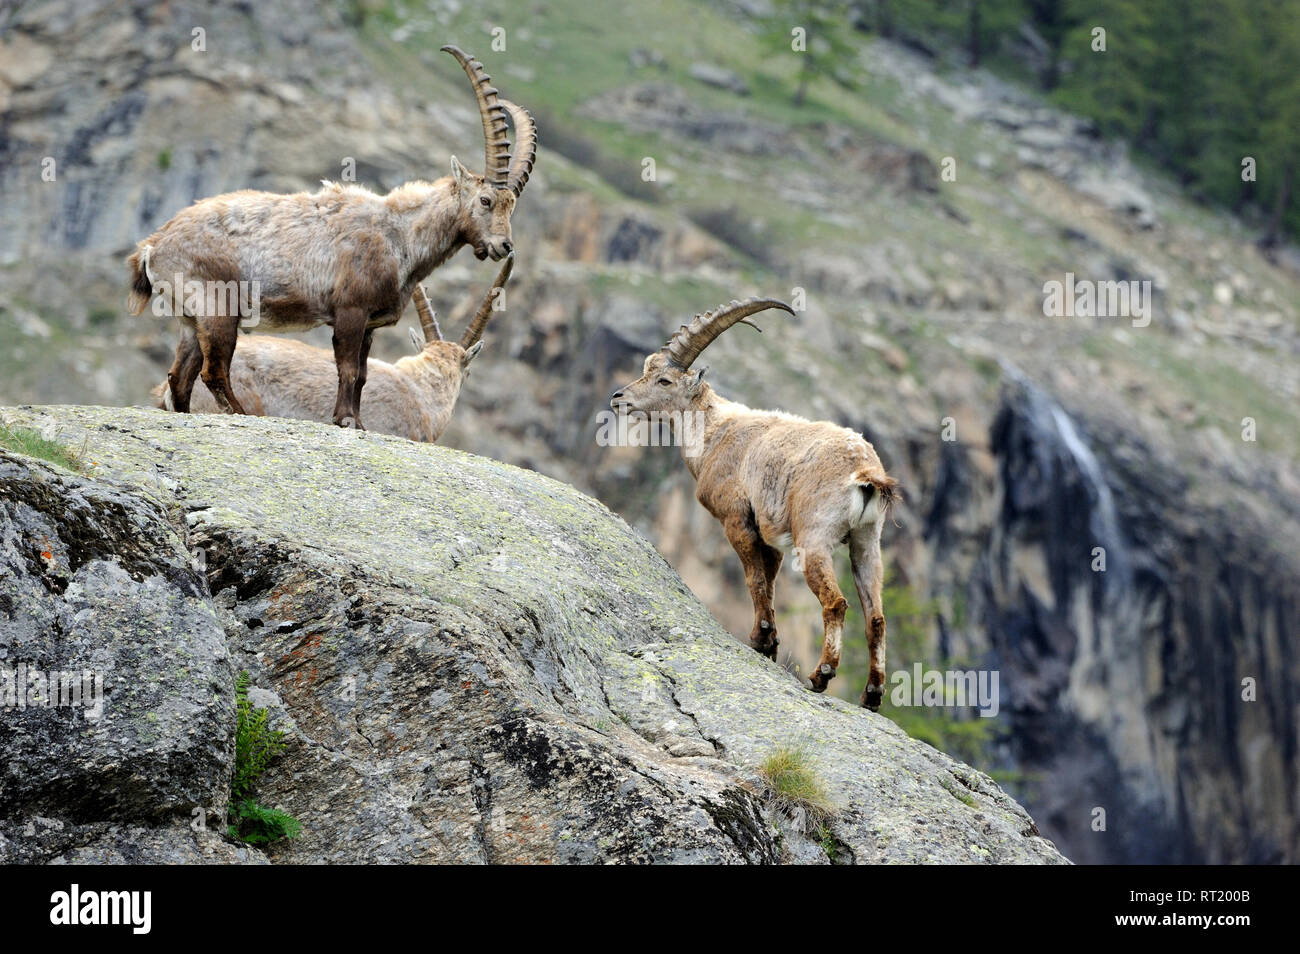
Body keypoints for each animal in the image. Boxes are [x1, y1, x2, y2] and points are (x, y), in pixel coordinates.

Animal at [609, 299, 899, 709]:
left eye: (664, 380)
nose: (618, 398)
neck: (713, 432)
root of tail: (864, 471)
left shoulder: (736, 518)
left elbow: (755, 579)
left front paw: (761, 641)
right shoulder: (769, 533)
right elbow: (771, 580)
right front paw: (771, 641)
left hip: (814, 538)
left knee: (836, 602)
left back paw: (821, 675)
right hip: (867, 541)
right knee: (876, 617)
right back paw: (871, 694)